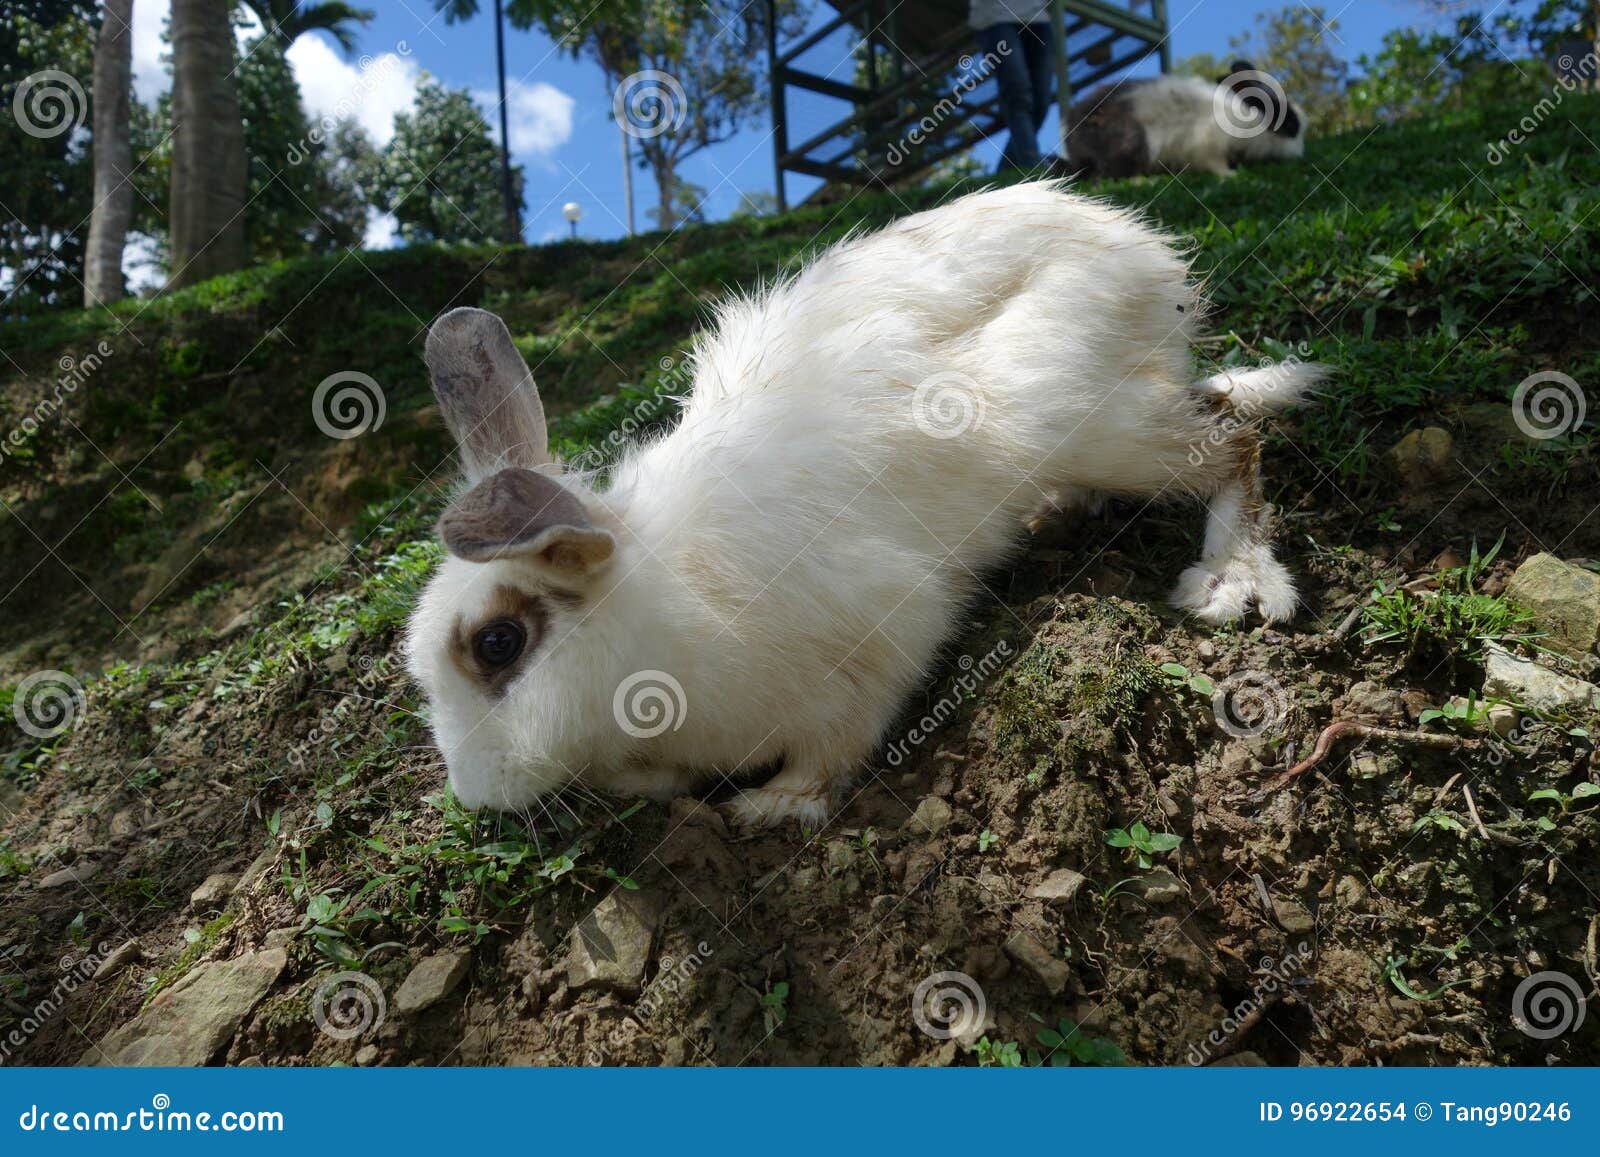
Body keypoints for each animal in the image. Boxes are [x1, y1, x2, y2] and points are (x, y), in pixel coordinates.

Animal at [404, 180, 1322, 828]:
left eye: (498, 642)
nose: (476, 795)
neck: (663, 601)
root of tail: (1148, 259)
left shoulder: (881, 634)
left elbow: (841, 736)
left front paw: (775, 805)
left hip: (1095, 423)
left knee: (1235, 443)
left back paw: (1231, 579)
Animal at [1067, 61, 1307, 179]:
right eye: (1290, 125)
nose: (1300, 151)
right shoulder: (1207, 145)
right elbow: (1214, 163)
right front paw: (1231, 174)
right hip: (1130, 147)